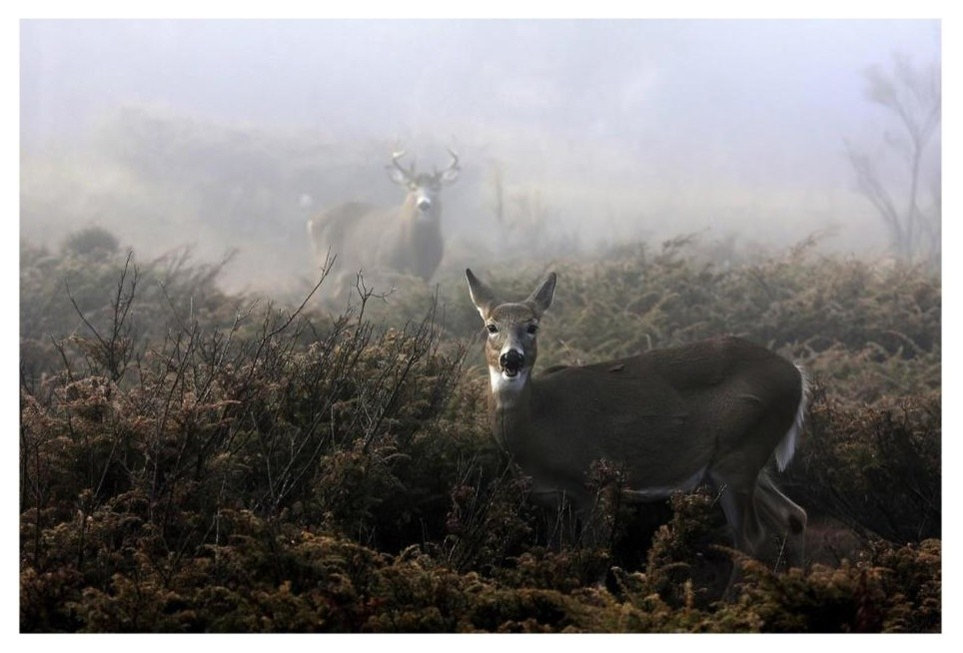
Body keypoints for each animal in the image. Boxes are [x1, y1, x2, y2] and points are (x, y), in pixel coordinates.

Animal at [307, 149, 460, 303]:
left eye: (436, 188)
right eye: (412, 187)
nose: (424, 204)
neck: (415, 251)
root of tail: (312, 221)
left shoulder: (427, 272)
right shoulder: (383, 265)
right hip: (325, 256)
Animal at [465, 268, 809, 587]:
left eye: (532, 326)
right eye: (491, 327)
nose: (512, 359)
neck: (541, 425)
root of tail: (798, 376)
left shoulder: (597, 485)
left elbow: (595, 564)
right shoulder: (549, 500)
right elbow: (554, 555)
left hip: (739, 454)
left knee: (751, 538)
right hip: (739, 461)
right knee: (793, 515)